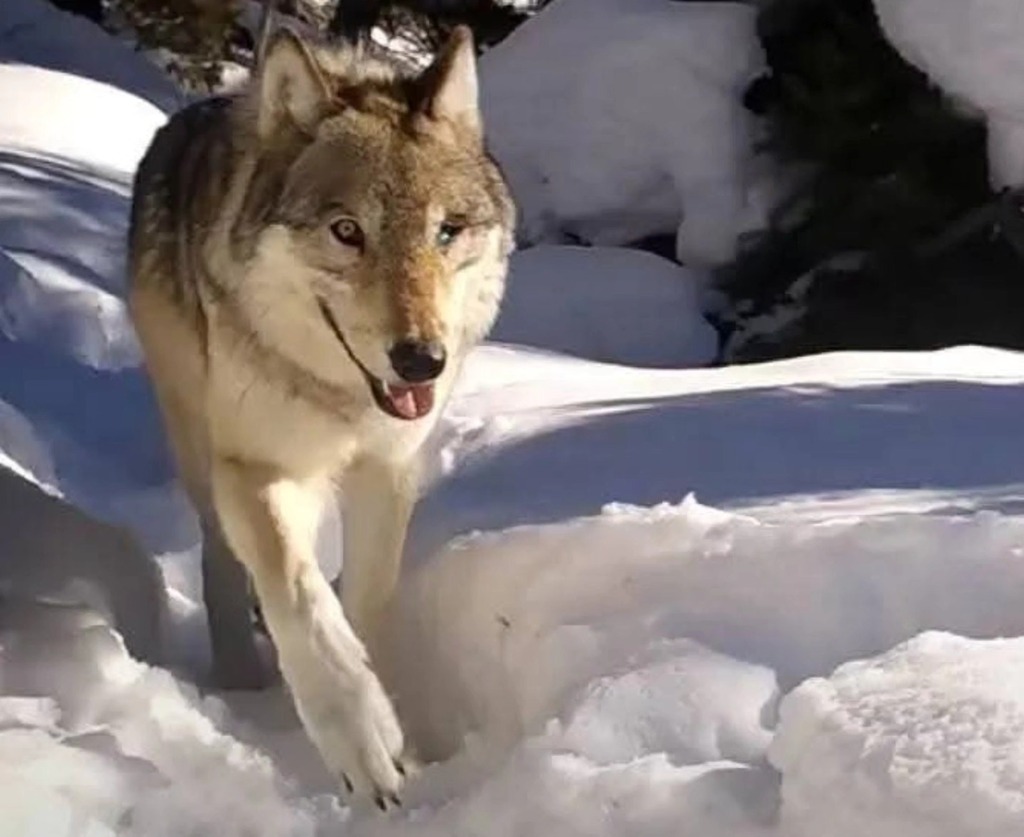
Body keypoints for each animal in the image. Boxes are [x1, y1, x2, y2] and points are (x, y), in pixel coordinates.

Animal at [126, 25, 515, 806]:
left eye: (448, 231)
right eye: (347, 231)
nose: (421, 362)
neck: (344, 399)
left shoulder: (388, 469)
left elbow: (364, 598)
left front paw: (397, 731)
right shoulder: (256, 466)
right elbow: (301, 597)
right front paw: (362, 742)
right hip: (198, 441)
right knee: (223, 555)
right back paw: (241, 673)